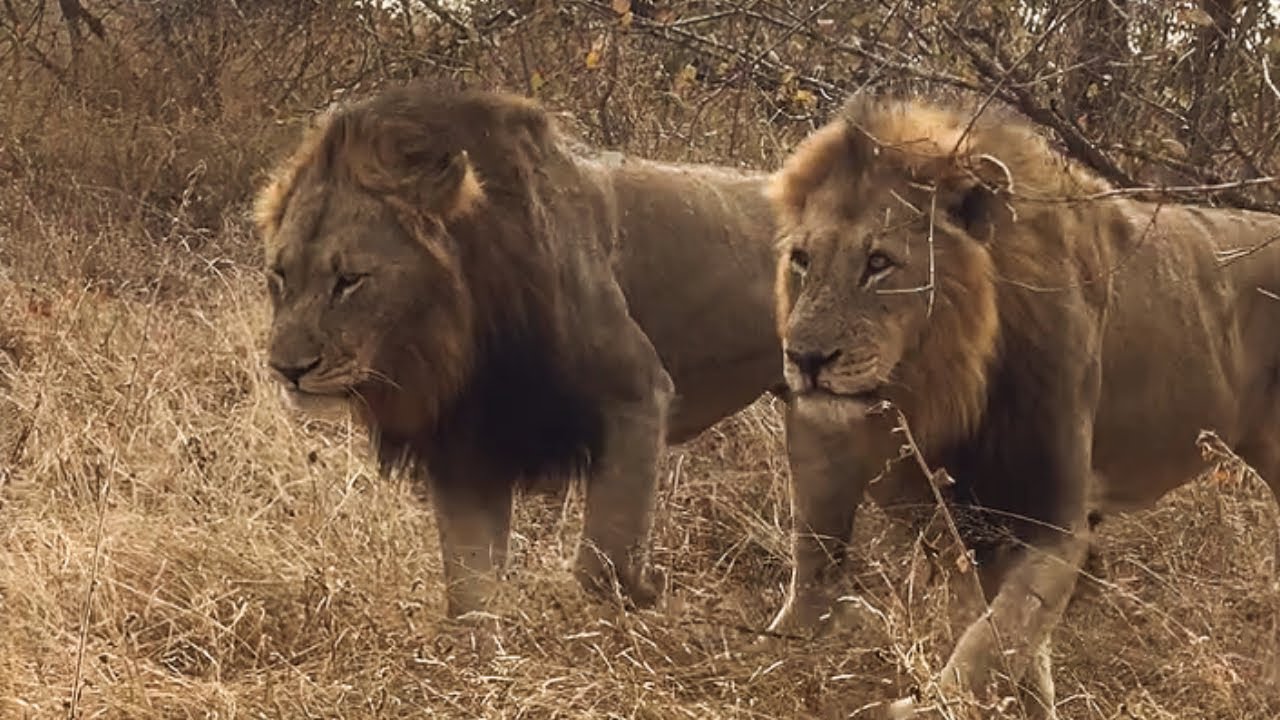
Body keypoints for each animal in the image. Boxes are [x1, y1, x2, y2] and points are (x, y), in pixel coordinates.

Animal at [253, 81, 783, 620]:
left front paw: (645, 591)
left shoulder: (636, 393)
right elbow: (469, 596)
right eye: (280, 274)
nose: (287, 369)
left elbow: (602, 562)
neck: (456, 344)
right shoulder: (463, 448)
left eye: (350, 280)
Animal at [764, 92, 1280, 717]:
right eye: (801, 259)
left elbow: (995, 640)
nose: (806, 358)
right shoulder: (966, 524)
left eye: (880, 262)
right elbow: (1013, 651)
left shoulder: (1054, 520)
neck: (954, 380)